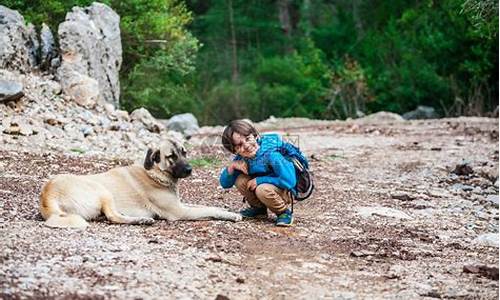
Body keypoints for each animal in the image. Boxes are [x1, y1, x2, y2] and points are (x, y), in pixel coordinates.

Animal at [39, 137, 242, 229]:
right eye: (171, 156)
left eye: (184, 152)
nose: (190, 169)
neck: (155, 174)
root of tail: (48, 196)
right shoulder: (179, 211)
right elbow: (208, 209)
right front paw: (231, 215)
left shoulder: (181, 204)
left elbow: (204, 205)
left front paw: (227, 210)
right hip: (103, 190)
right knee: (113, 217)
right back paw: (141, 220)